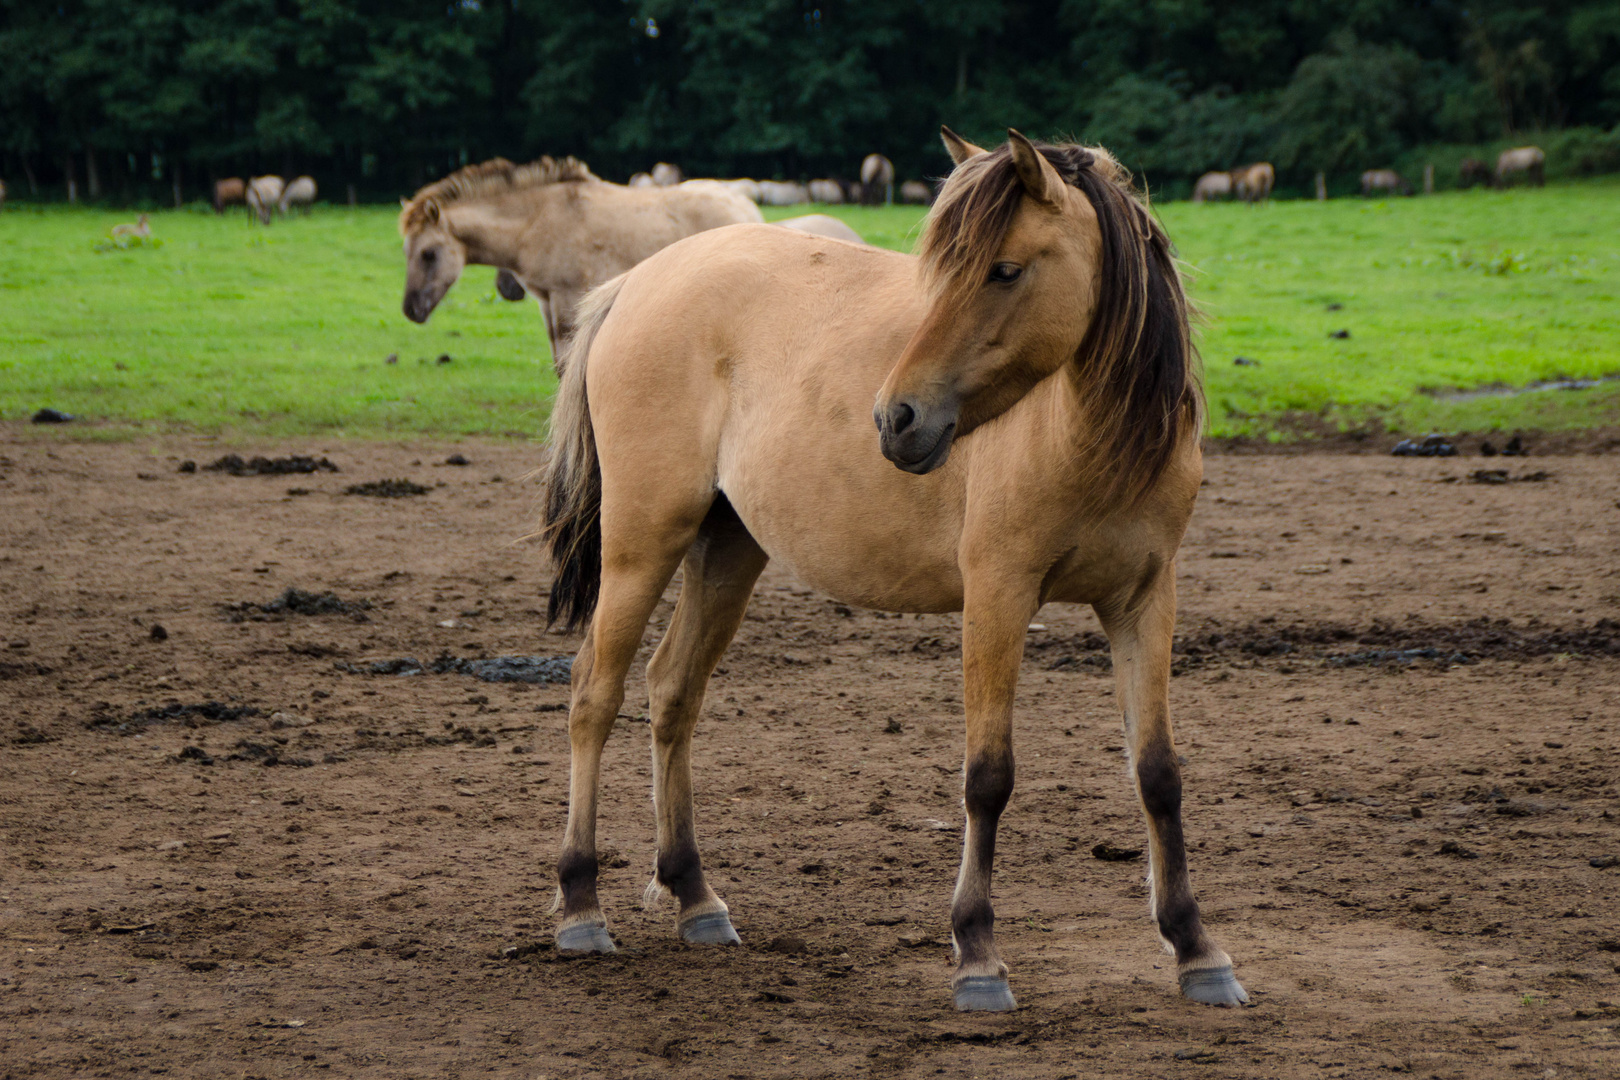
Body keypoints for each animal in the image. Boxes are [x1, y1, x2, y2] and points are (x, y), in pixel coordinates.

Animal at [537, 127, 1244, 1016]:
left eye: (1005, 269)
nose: (897, 418)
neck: (1087, 433)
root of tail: (636, 282)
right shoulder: (998, 594)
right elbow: (988, 776)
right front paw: (976, 953)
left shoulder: (1146, 600)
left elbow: (1157, 773)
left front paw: (1196, 948)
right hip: (642, 543)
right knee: (594, 693)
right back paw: (580, 904)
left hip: (728, 549)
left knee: (673, 691)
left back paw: (695, 895)